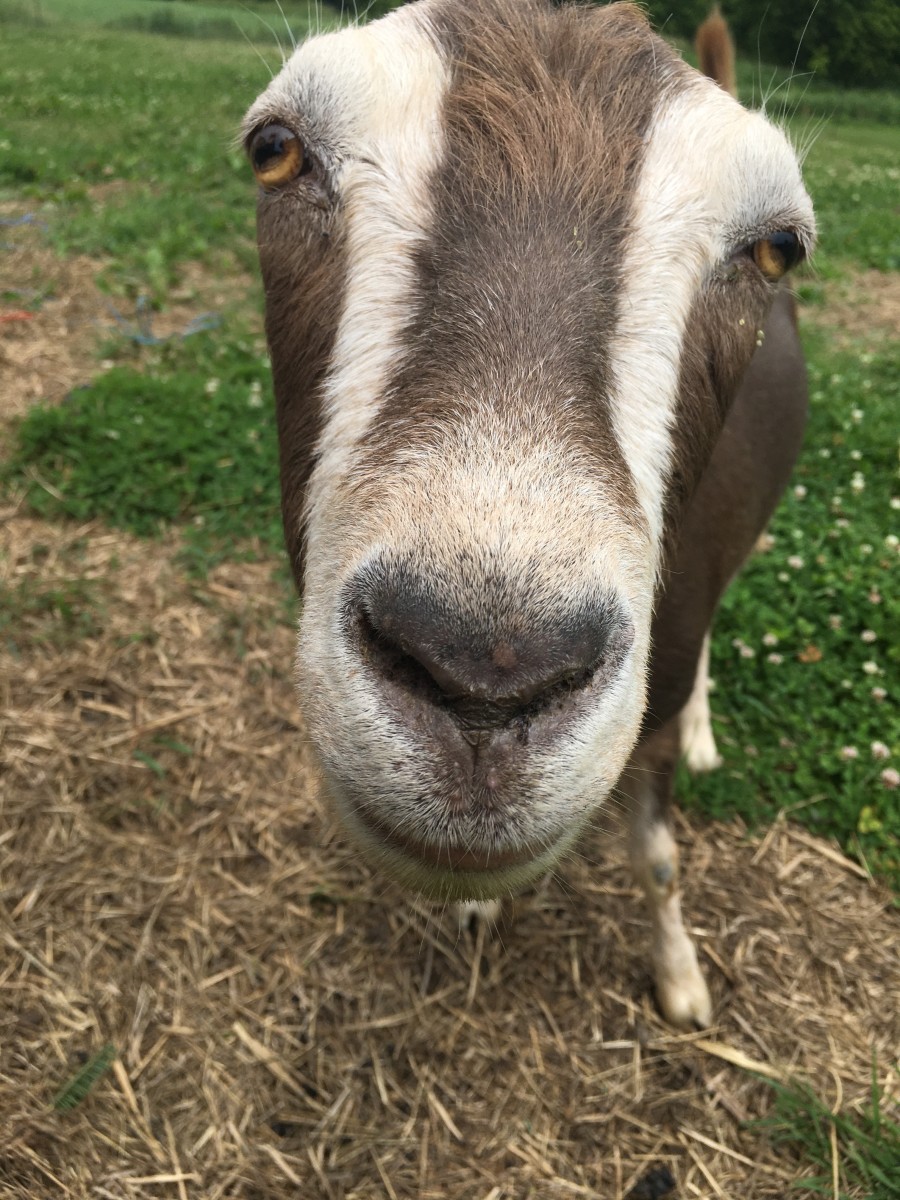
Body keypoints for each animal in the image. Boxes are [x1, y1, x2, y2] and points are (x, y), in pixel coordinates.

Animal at [243, 0, 814, 1028]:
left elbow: (657, 856)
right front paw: (478, 910)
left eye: (776, 246)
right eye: (275, 150)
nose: (485, 676)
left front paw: (680, 979)